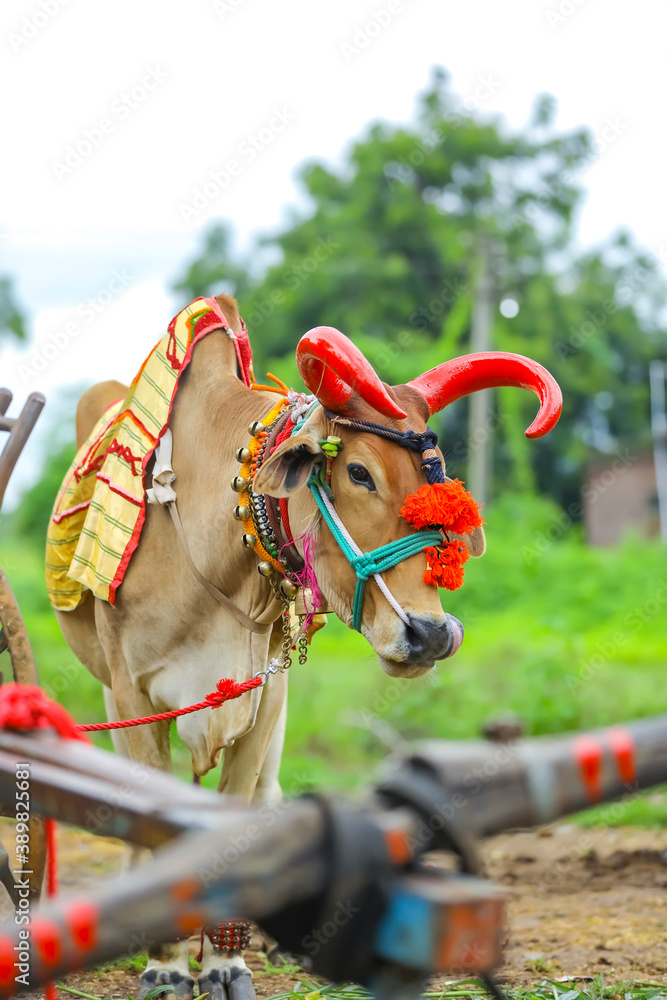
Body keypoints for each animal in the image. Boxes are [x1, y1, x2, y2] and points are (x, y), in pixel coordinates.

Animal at [52, 293, 561, 999]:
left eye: (437, 477)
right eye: (359, 472)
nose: (432, 633)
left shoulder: (264, 693)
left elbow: (235, 812)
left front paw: (227, 964)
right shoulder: (133, 693)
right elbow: (151, 815)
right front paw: (166, 964)